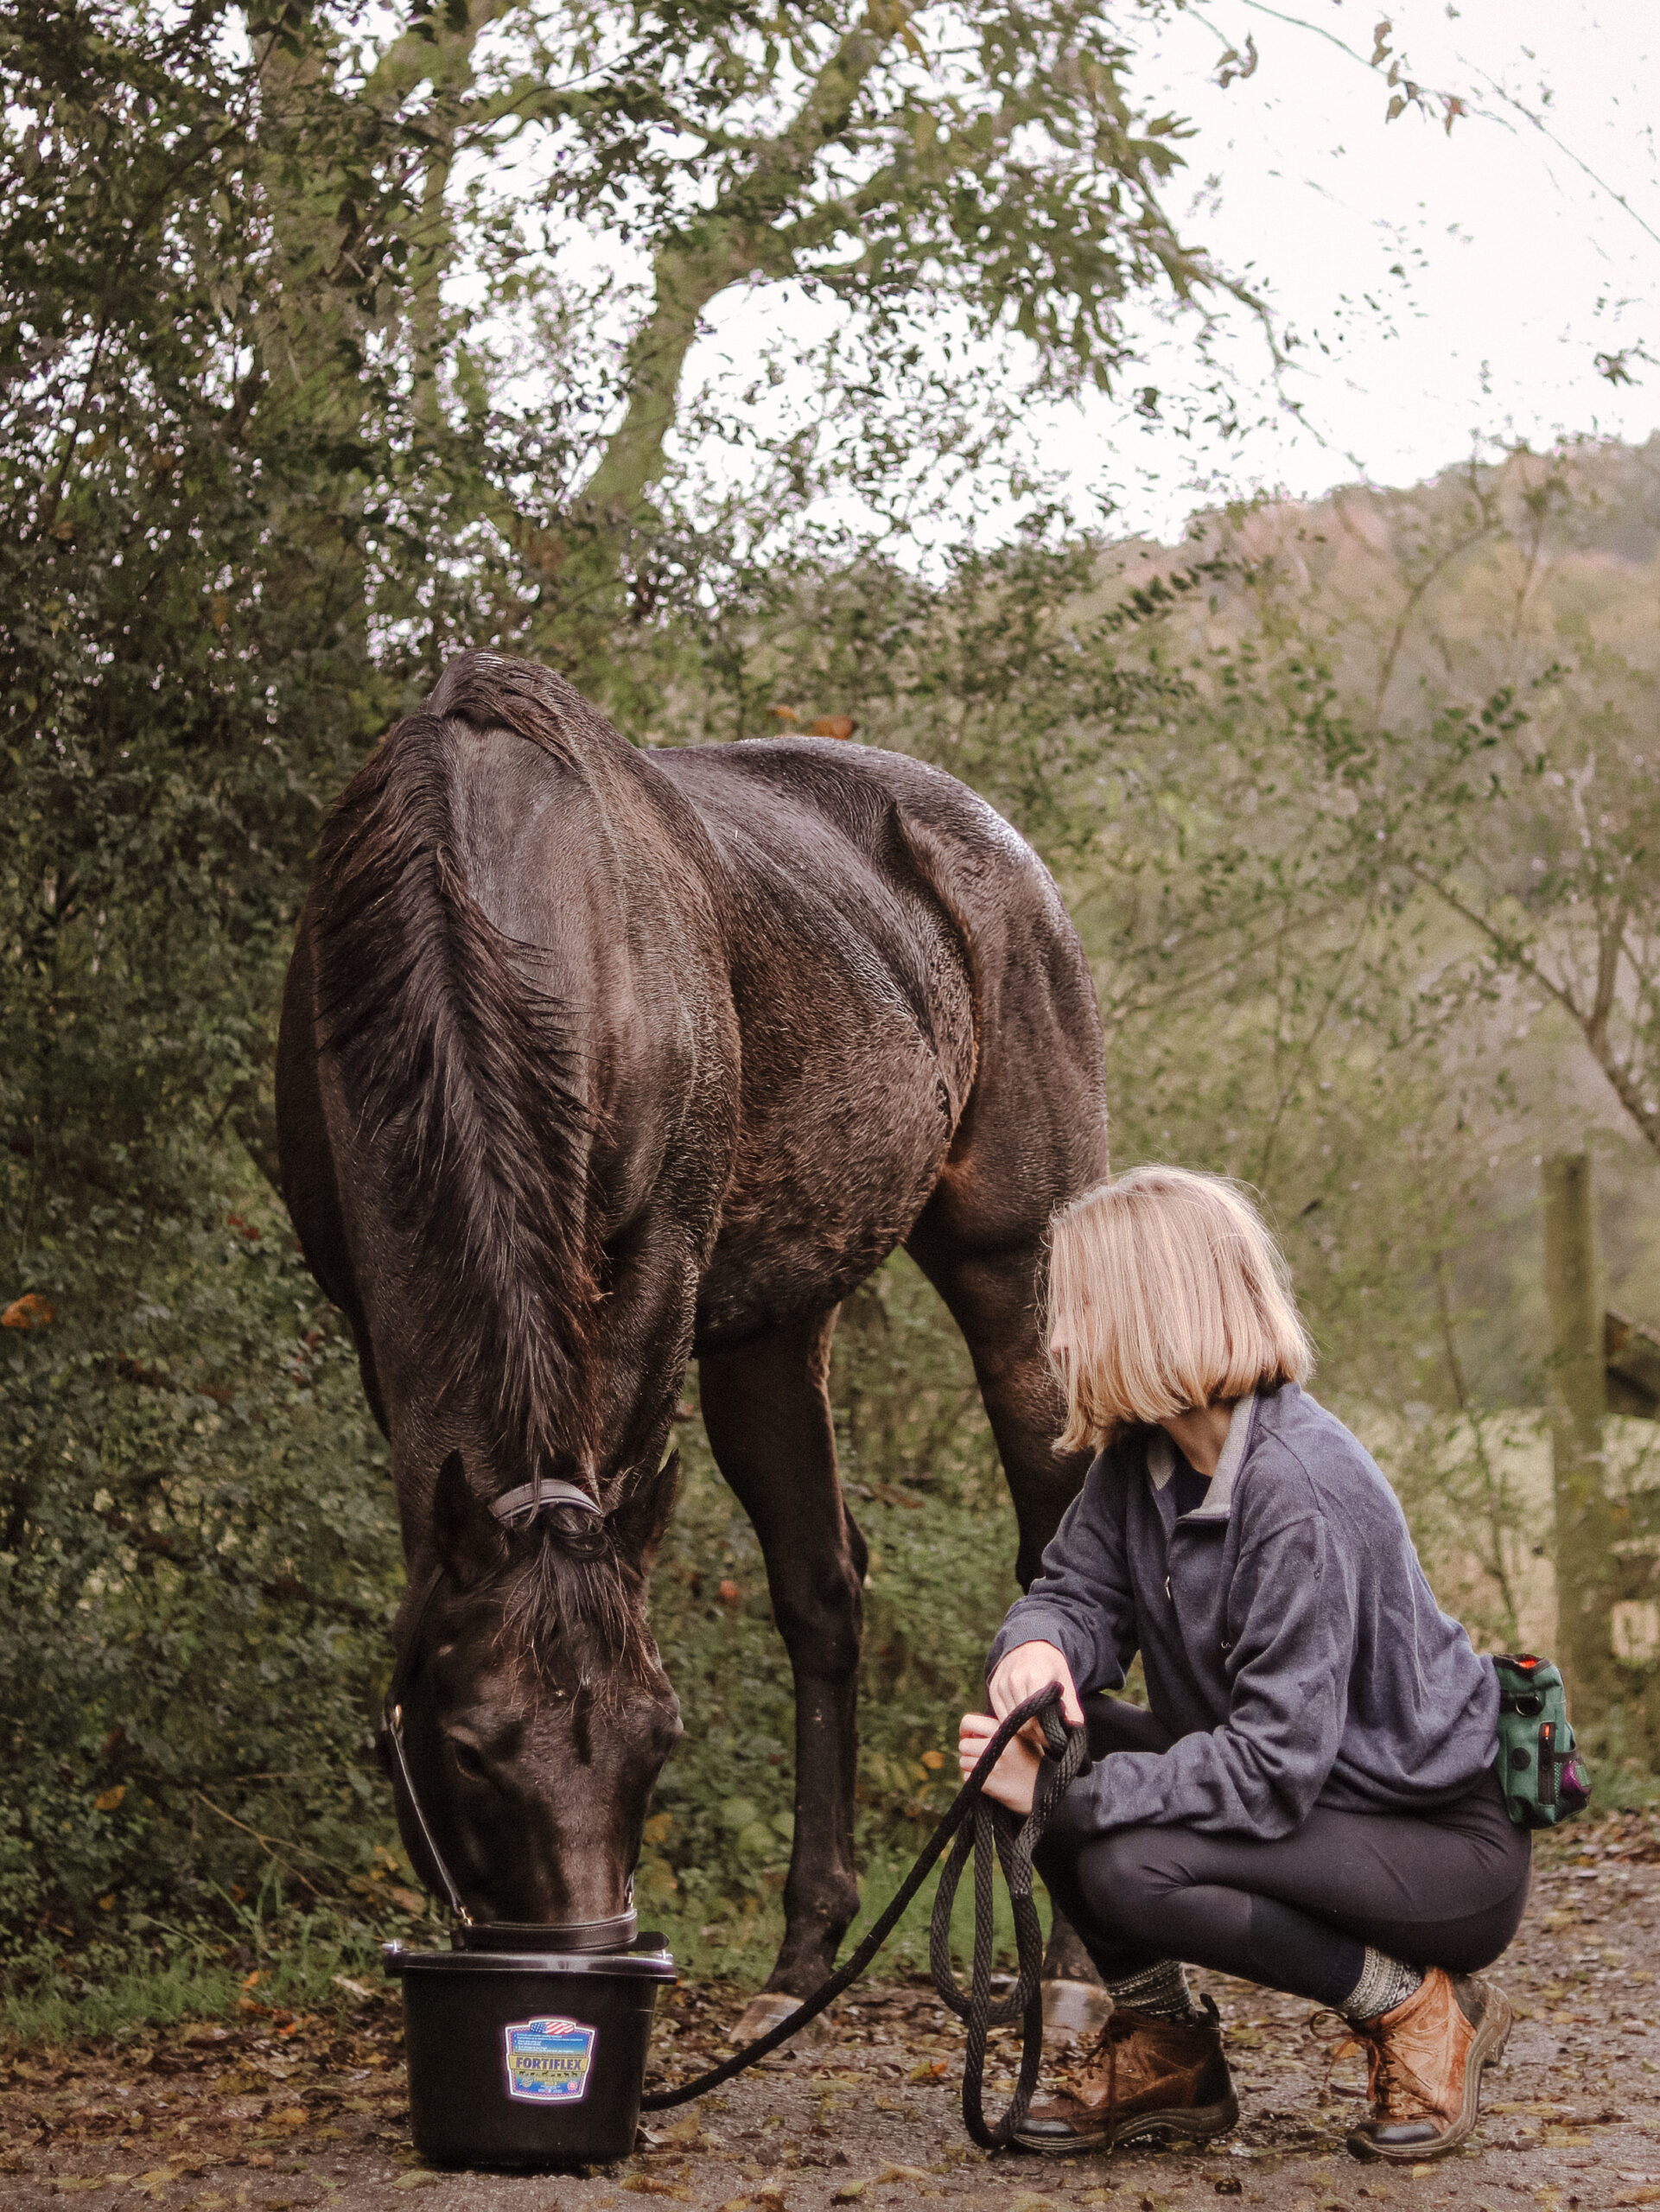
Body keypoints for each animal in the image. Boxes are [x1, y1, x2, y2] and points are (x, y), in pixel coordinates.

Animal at [275, 650, 1108, 1998]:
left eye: (657, 1738)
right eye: (467, 1747)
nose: (572, 1960)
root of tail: (1003, 858)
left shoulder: (654, 1274)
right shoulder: (371, 1308)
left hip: (1016, 1271)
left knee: (1053, 1541)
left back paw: (1080, 1948)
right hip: (775, 1331)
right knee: (822, 1589)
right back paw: (810, 1939)